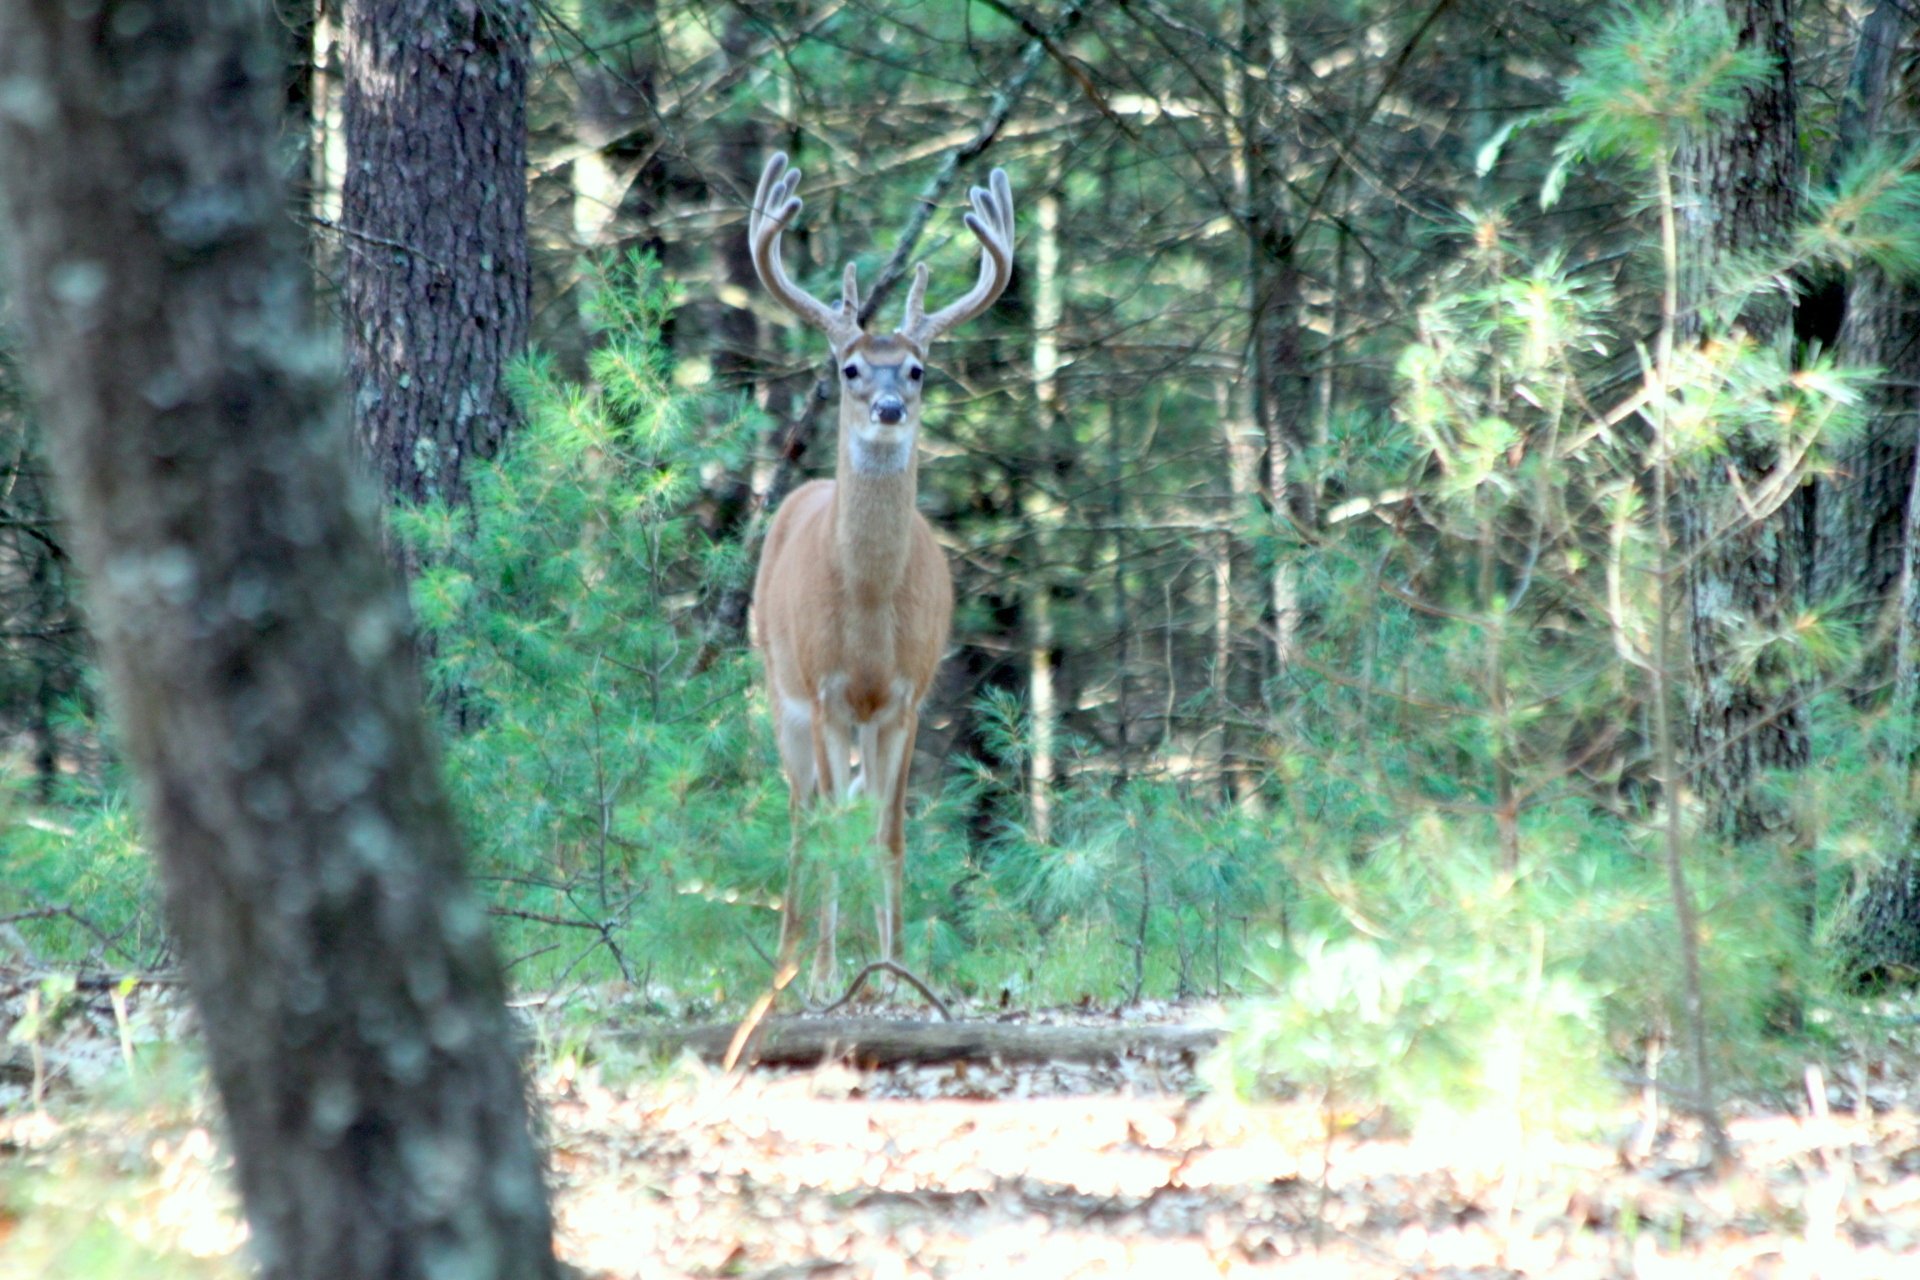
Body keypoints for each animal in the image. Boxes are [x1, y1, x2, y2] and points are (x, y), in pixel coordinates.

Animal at [747, 152, 1014, 991]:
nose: (890, 408)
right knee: (803, 814)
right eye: (851, 367)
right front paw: (831, 974)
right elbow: (834, 822)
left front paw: (895, 972)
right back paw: (789, 961)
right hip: (778, 687)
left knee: (850, 813)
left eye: (920, 369)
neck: (866, 607)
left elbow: (890, 832)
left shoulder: (906, 696)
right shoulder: (825, 689)